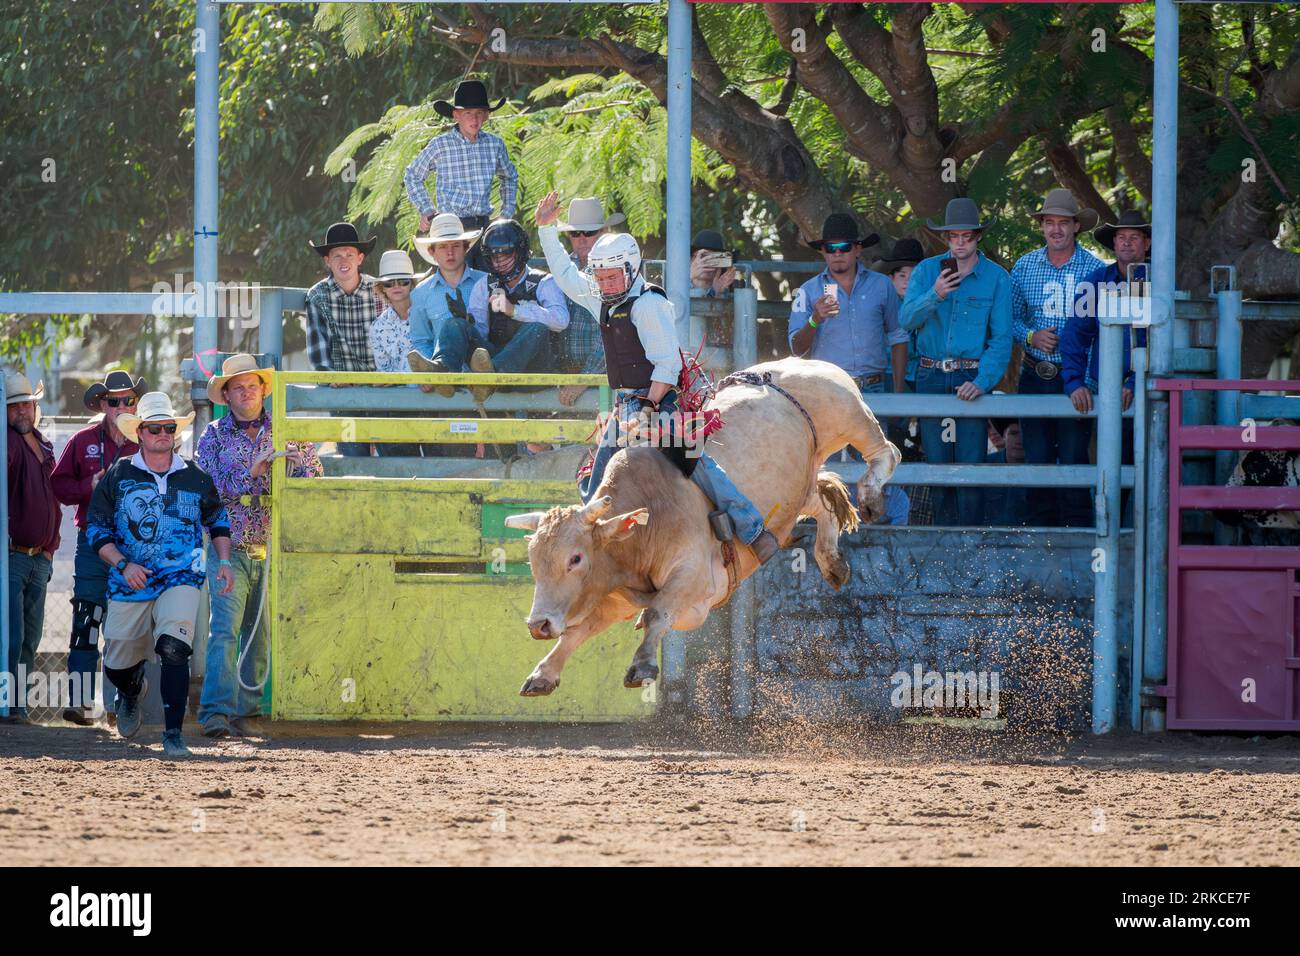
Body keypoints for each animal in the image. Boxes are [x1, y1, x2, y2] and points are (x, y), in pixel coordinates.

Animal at [503, 357, 900, 697]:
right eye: (533, 562)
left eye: (575, 559)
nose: (537, 625)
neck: (646, 523)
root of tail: (798, 363)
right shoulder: (613, 597)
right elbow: (578, 630)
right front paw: (543, 674)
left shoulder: (694, 578)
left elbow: (657, 613)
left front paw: (643, 667)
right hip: (798, 488)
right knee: (823, 500)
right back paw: (833, 563)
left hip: (850, 416)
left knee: (886, 452)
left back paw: (871, 494)